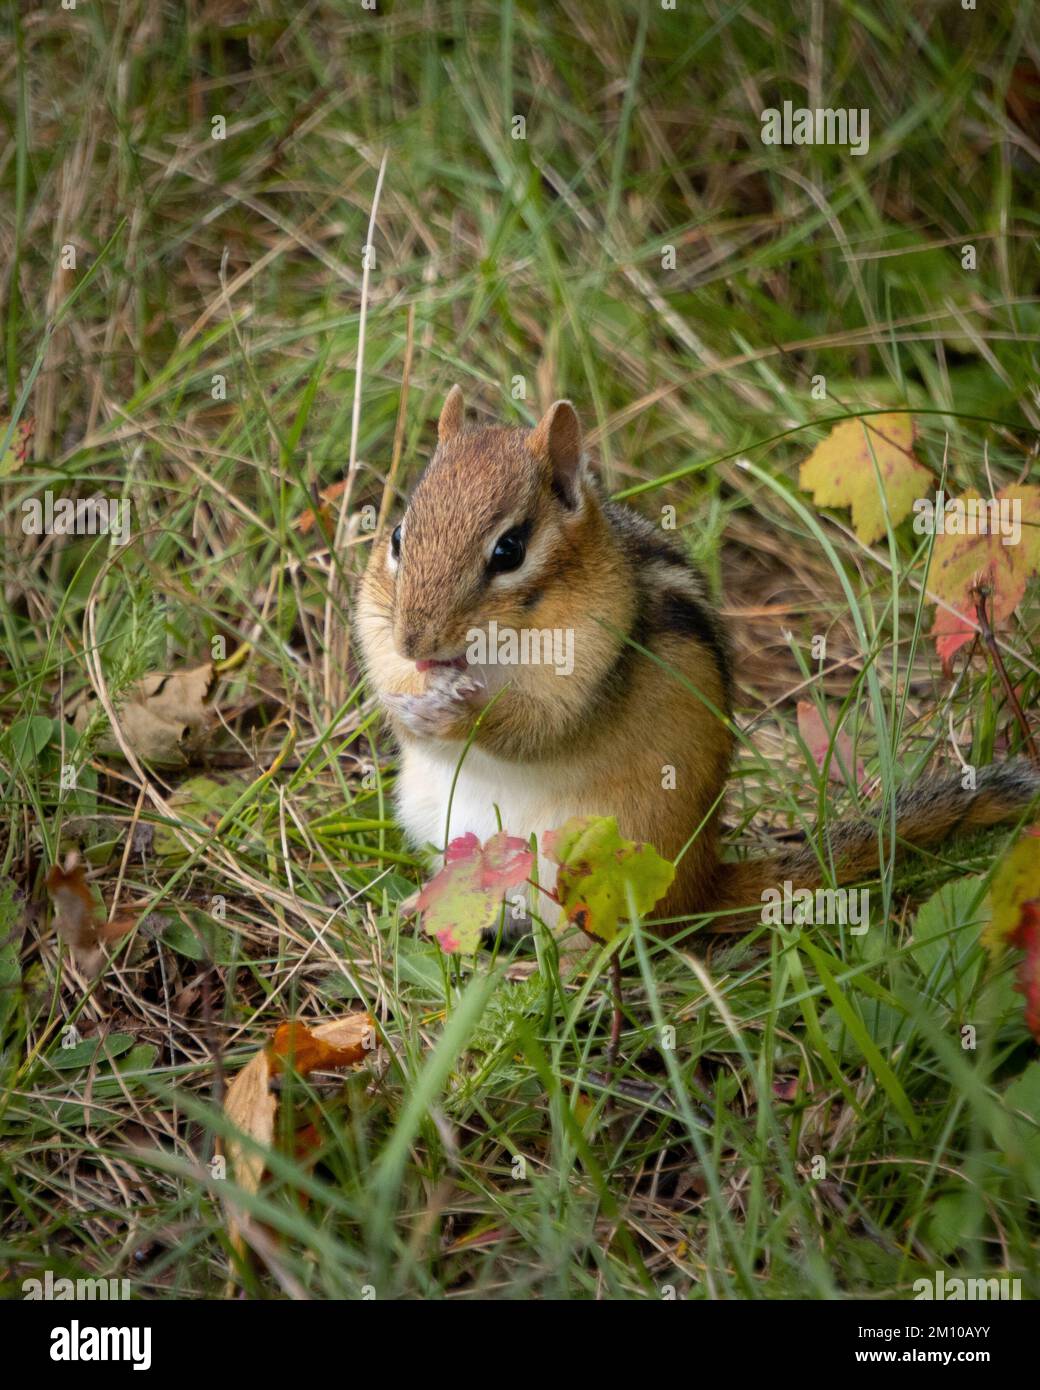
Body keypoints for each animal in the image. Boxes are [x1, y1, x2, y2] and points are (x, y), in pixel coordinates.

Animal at [356, 386, 1040, 937]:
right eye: (398, 537)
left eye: (509, 551)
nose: (415, 642)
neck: (493, 650)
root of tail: (701, 882)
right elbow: (388, 684)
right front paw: (404, 702)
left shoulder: (592, 668)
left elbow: (542, 729)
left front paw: (460, 712)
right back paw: (424, 905)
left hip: (597, 850)